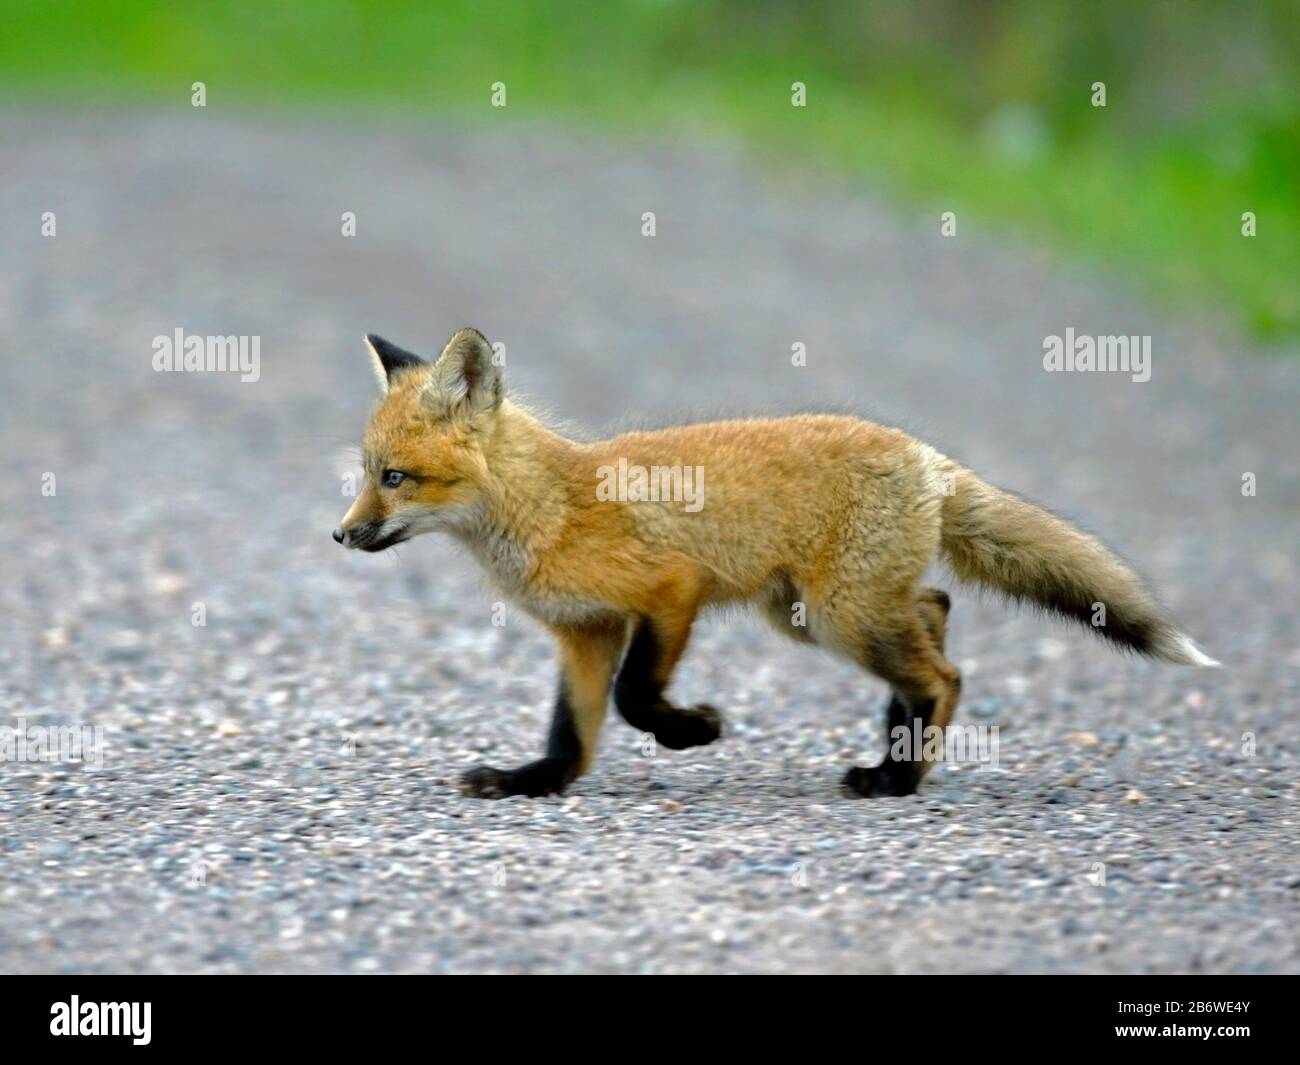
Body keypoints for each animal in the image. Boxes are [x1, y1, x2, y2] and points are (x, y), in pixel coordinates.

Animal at [335, 327, 1218, 800]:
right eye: (367, 472)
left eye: (395, 477)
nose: (340, 536)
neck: (548, 506)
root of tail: (924, 455)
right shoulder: (585, 632)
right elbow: (573, 733)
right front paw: (532, 781)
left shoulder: (669, 591)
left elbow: (634, 698)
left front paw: (693, 731)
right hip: (809, 612)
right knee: (935, 611)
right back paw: (895, 749)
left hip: (838, 616)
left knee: (945, 673)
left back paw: (898, 778)